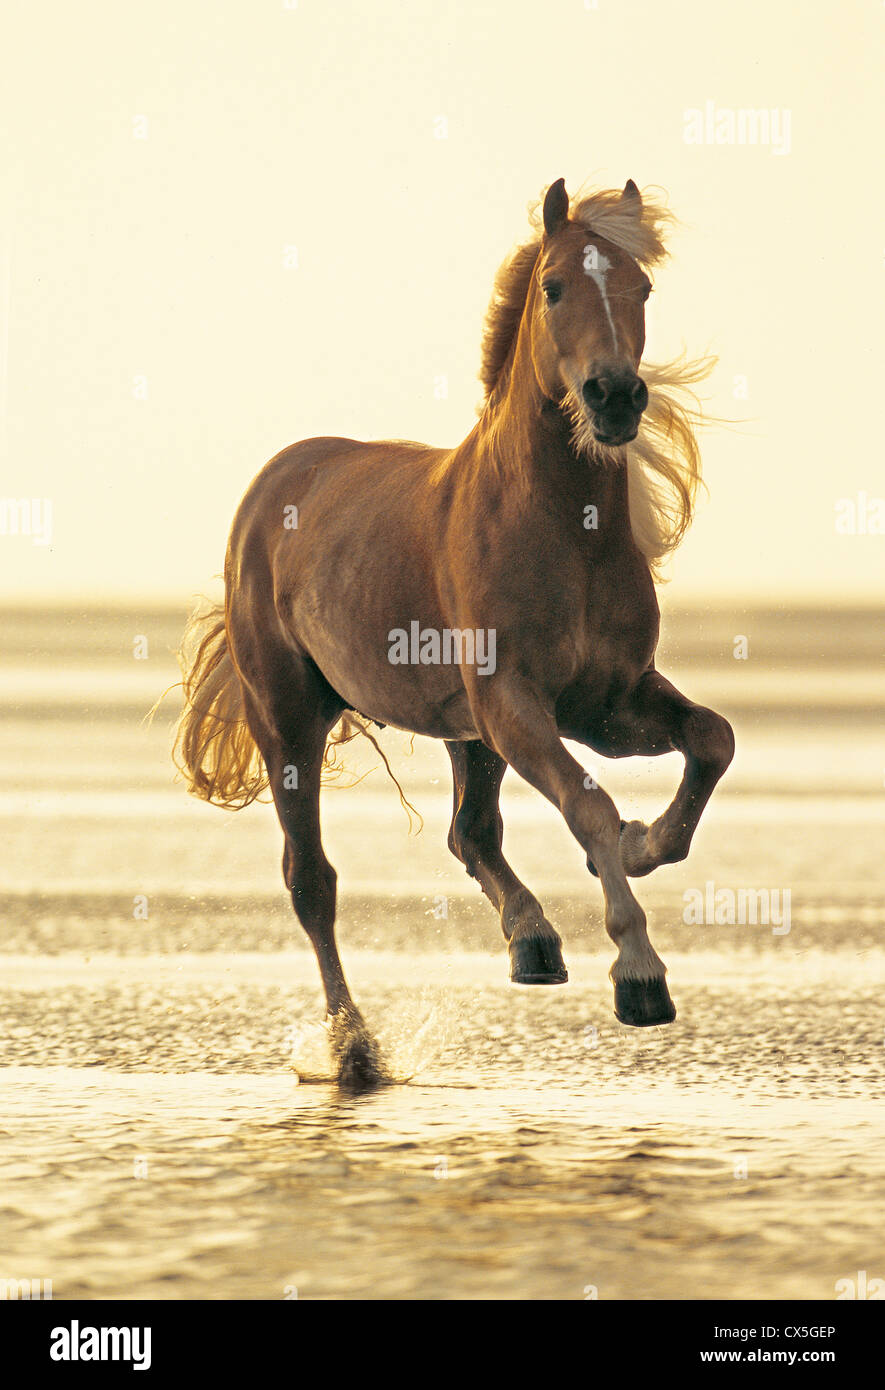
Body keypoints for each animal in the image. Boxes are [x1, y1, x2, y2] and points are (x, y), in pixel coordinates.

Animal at [174, 176, 734, 1090]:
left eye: (642, 288)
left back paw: (533, 942)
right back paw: (354, 1048)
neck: (563, 526)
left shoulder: (606, 704)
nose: (615, 398)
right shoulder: (516, 703)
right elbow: (587, 802)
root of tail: (275, 484)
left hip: (464, 731)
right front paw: (639, 974)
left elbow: (710, 741)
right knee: (311, 880)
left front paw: (640, 845)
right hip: (289, 718)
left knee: (467, 832)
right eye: (554, 287)